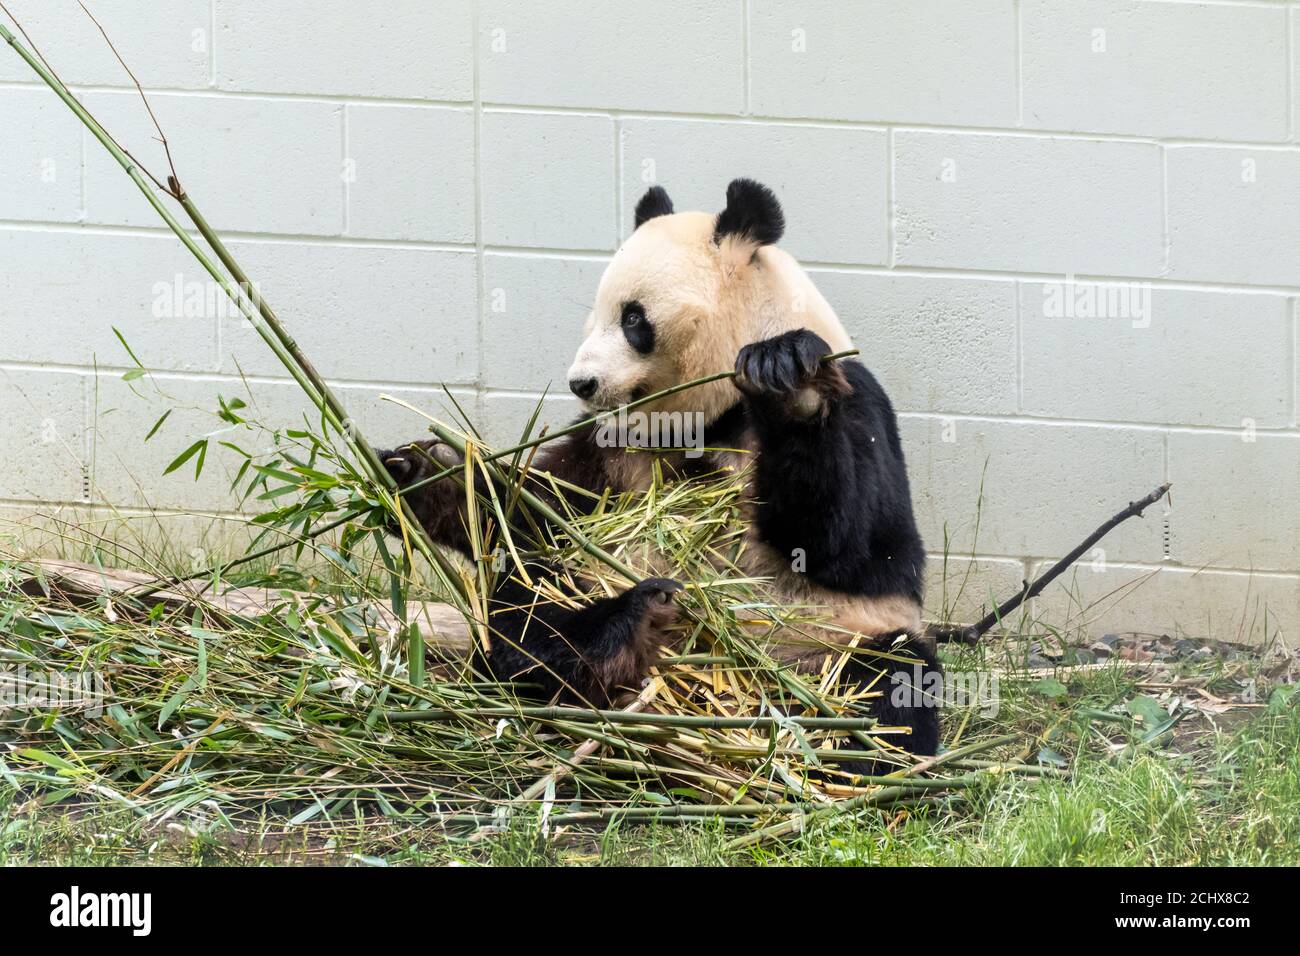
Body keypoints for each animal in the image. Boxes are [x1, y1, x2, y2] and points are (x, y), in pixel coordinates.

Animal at [380, 178, 940, 757]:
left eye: (633, 318)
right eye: (596, 315)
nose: (581, 383)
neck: (707, 419)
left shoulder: (858, 407)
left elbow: (850, 544)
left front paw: (790, 380)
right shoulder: (610, 448)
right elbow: (534, 515)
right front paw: (428, 470)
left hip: (839, 636)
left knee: (889, 690)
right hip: (591, 578)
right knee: (530, 607)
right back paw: (621, 635)